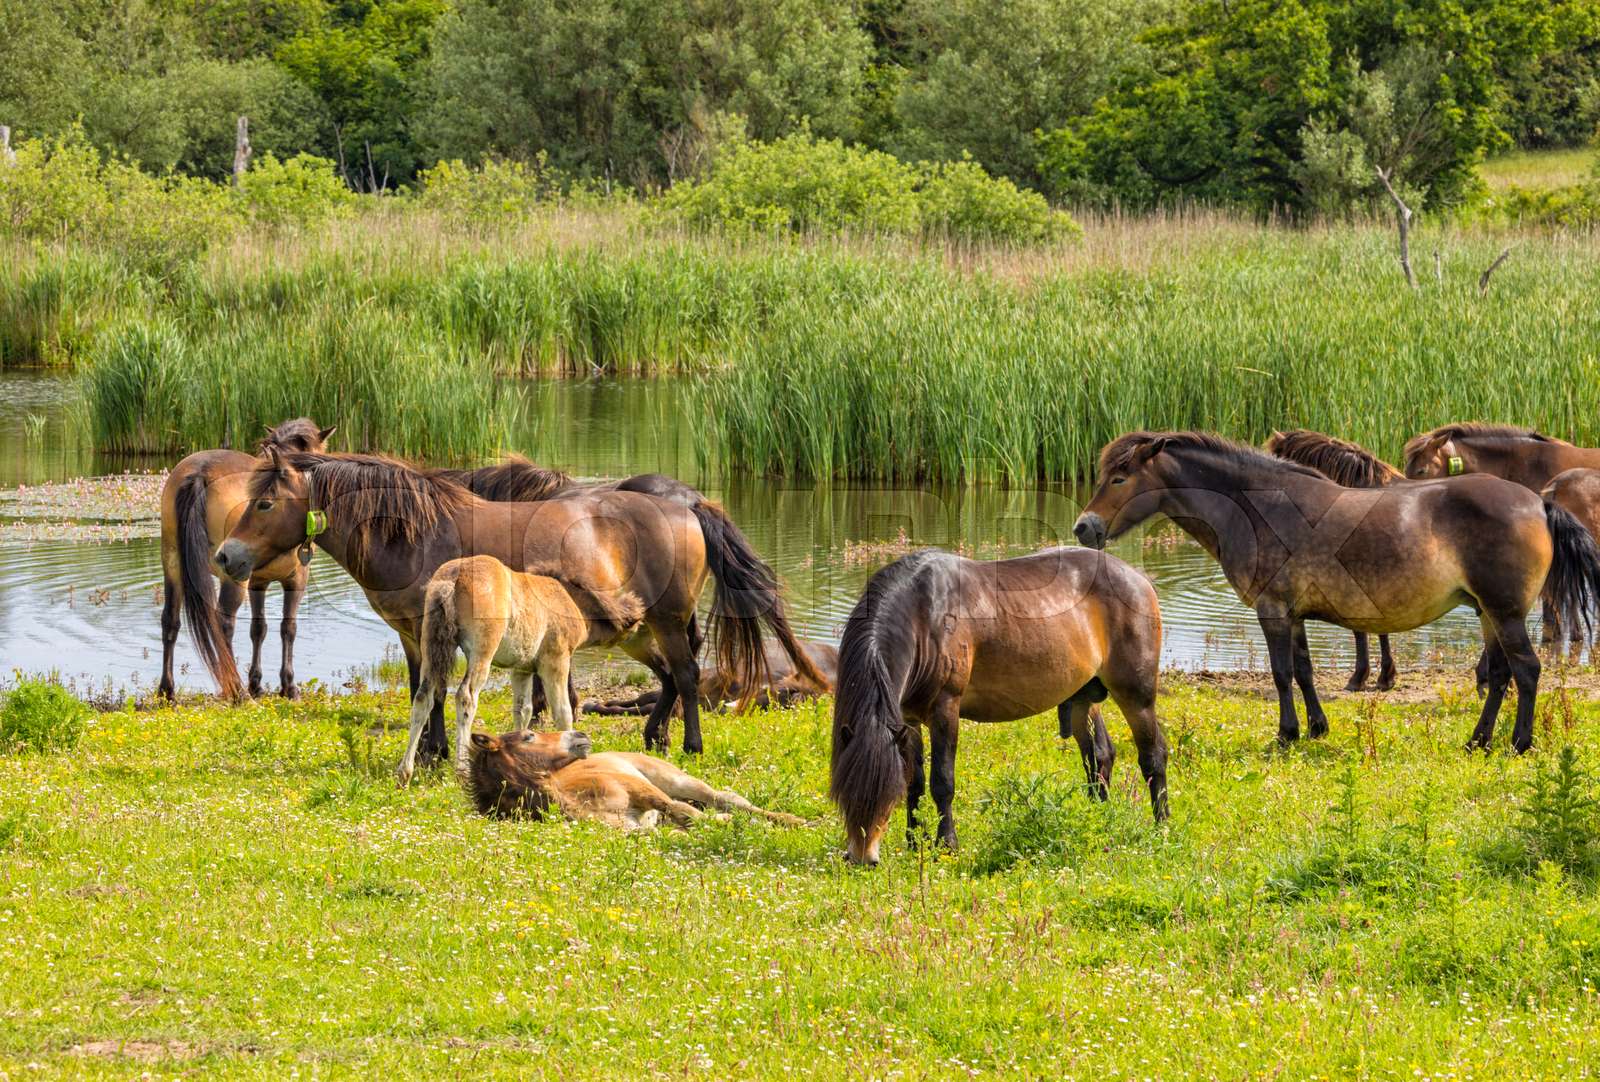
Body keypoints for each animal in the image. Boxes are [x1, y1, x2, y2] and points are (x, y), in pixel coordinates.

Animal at [158, 418, 335, 701]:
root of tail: (200, 472)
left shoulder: (257, 582)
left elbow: (258, 629)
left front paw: (257, 683)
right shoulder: (296, 579)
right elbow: (288, 628)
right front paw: (288, 686)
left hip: (172, 563)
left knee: (170, 620)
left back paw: (167, 690)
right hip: (231, 579)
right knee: (223, 625)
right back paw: (237, 691)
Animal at [397, 556, 648, 785]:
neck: (569, 599)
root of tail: (452, 578)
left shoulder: (521, 669)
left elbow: (522, 710)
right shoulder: (555, 661)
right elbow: (563, 711)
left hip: (429, 645)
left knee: (423, 697)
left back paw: (405, 772)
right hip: (481, 651)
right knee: (465, 697)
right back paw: (462, 770)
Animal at [467, 728, 805, 830]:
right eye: (528, 735)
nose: (580, 734)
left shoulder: (640, 789)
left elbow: (686, 812)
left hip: (674, 779)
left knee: (724, 798)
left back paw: (793, 820)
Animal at [583, 639, 838, 716]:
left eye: (788, 694)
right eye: (785, 688)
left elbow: (640, 707)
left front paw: (599, 707)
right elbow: (638, 700)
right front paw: (597, 704)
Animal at [828, 547, 1165, 867]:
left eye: (884, 797)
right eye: (845, 793)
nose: (862, 857)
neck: (923, 617)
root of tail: (1137, 578)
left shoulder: (945, 709)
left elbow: (942, 782)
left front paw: (947, 845)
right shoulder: (908, 718)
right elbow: (915, 781)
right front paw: (914, 843)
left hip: (1136, 695)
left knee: (1153, 756)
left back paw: (1161, 826)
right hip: (1082, 697)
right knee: (1099, 756)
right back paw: (1099, 818)